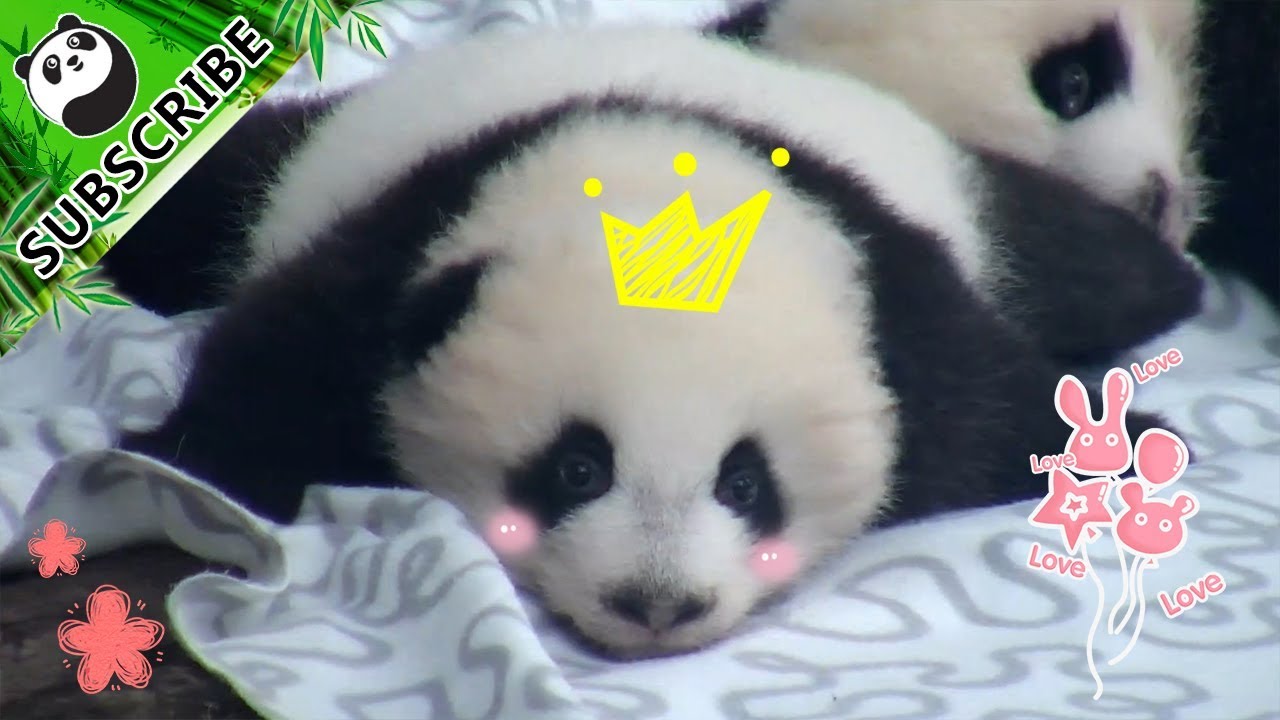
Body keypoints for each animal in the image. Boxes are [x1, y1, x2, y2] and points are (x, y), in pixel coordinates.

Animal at [116, 27, 1194, 658]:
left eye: (746, 483)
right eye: (576, 467)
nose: (656, 603)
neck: (663, 191)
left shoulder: (893, 282)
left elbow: (986, 398)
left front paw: (1121, 443)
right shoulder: (411, 235)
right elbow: (283, 367)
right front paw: (164, 455)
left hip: (967, 193)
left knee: (1081, 259)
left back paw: (1167, 276)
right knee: (210, 193)